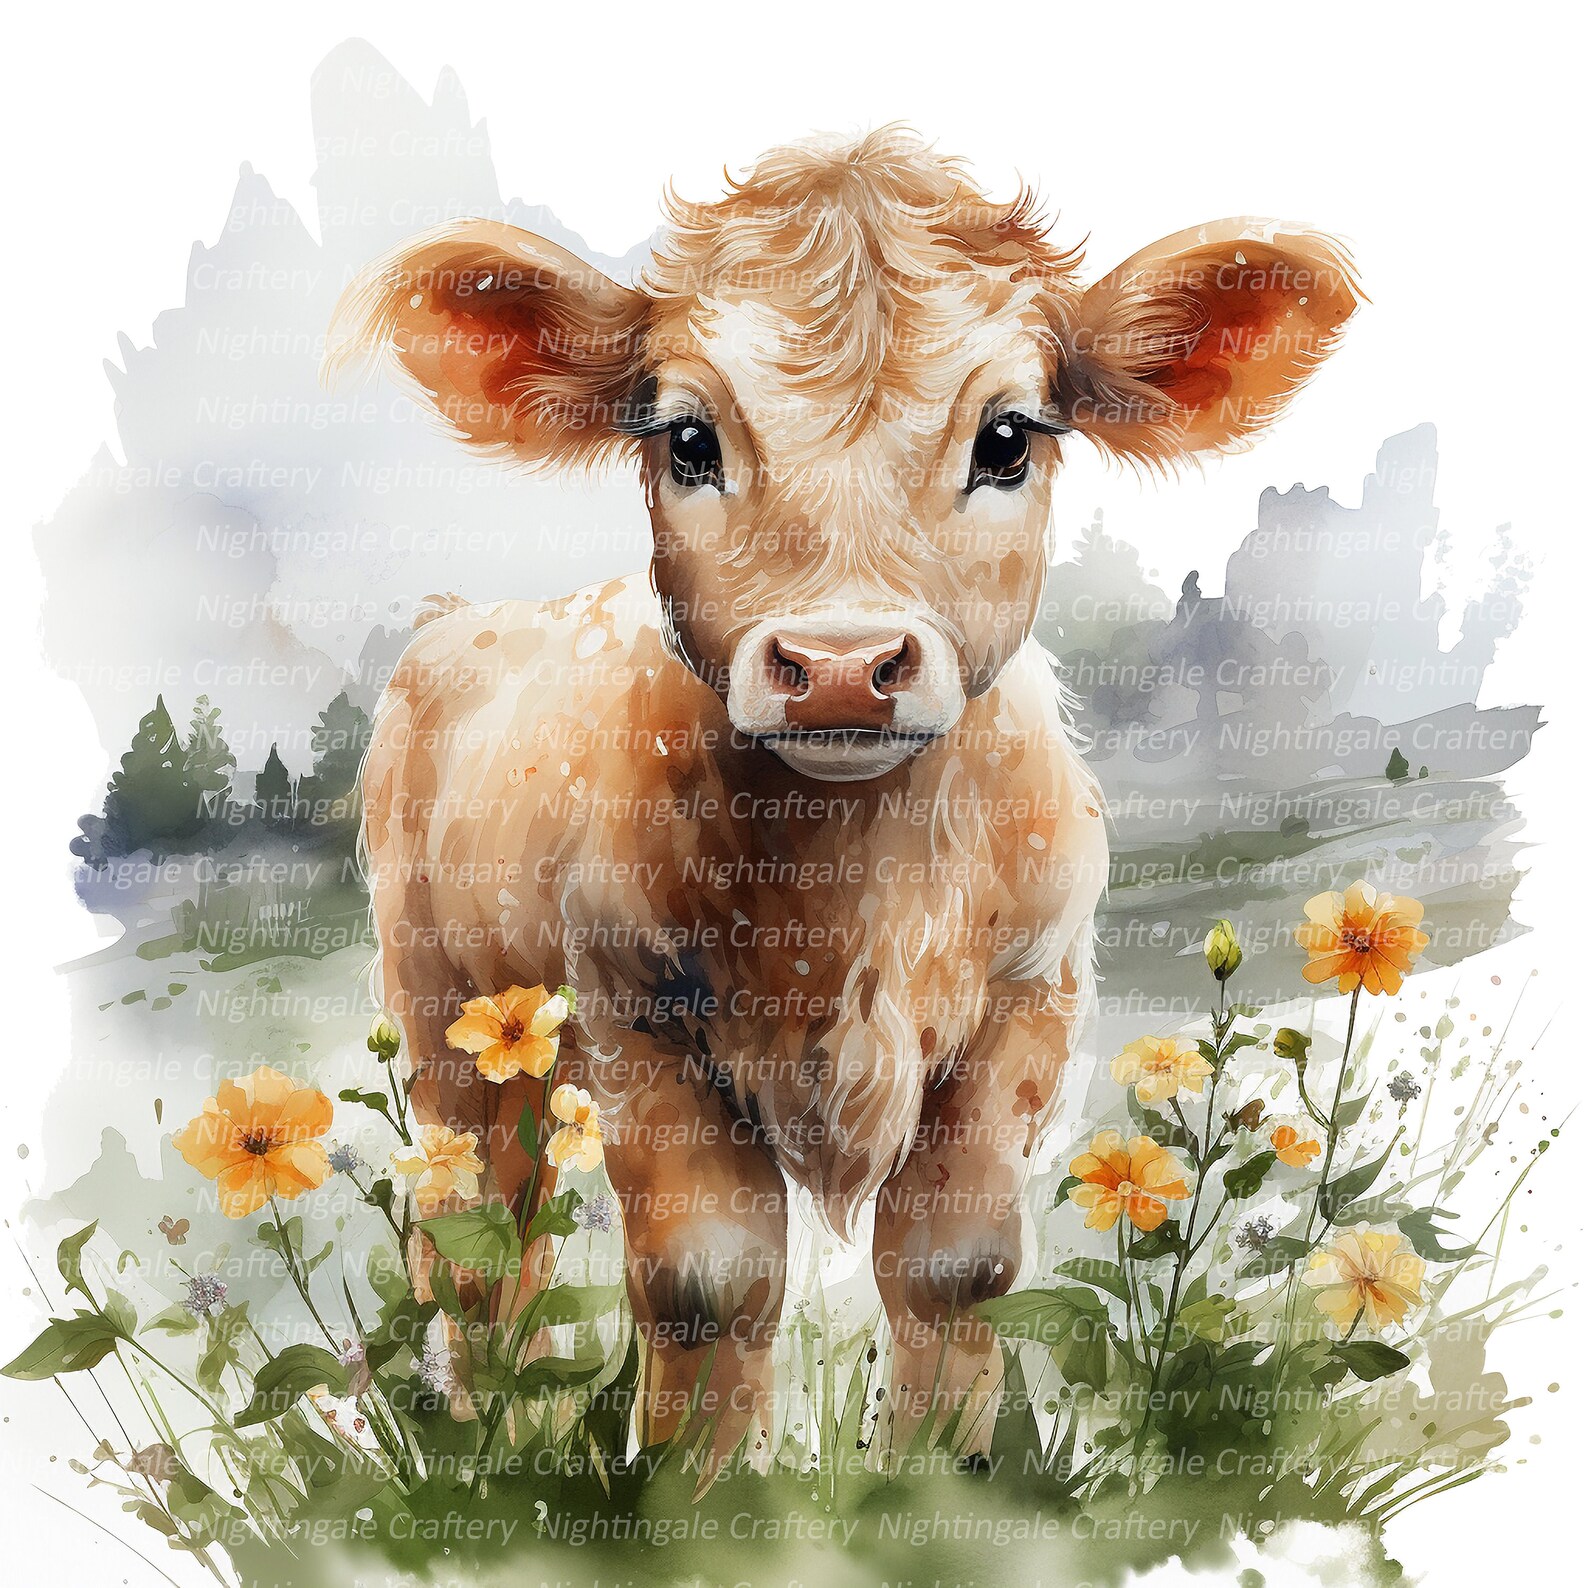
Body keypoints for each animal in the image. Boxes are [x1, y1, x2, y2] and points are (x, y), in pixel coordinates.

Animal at [330, 126, 1359, 1479]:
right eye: (688, 440)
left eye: (1007, 437)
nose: (836, 663)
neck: (848, 894)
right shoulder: (634, 1008)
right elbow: (707, 1282)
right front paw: (701, 1498)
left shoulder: (1029, 999)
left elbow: (953, 1271)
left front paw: (930, 1486)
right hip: (448, 1000)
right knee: (473, 1226)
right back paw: (494, 1436)